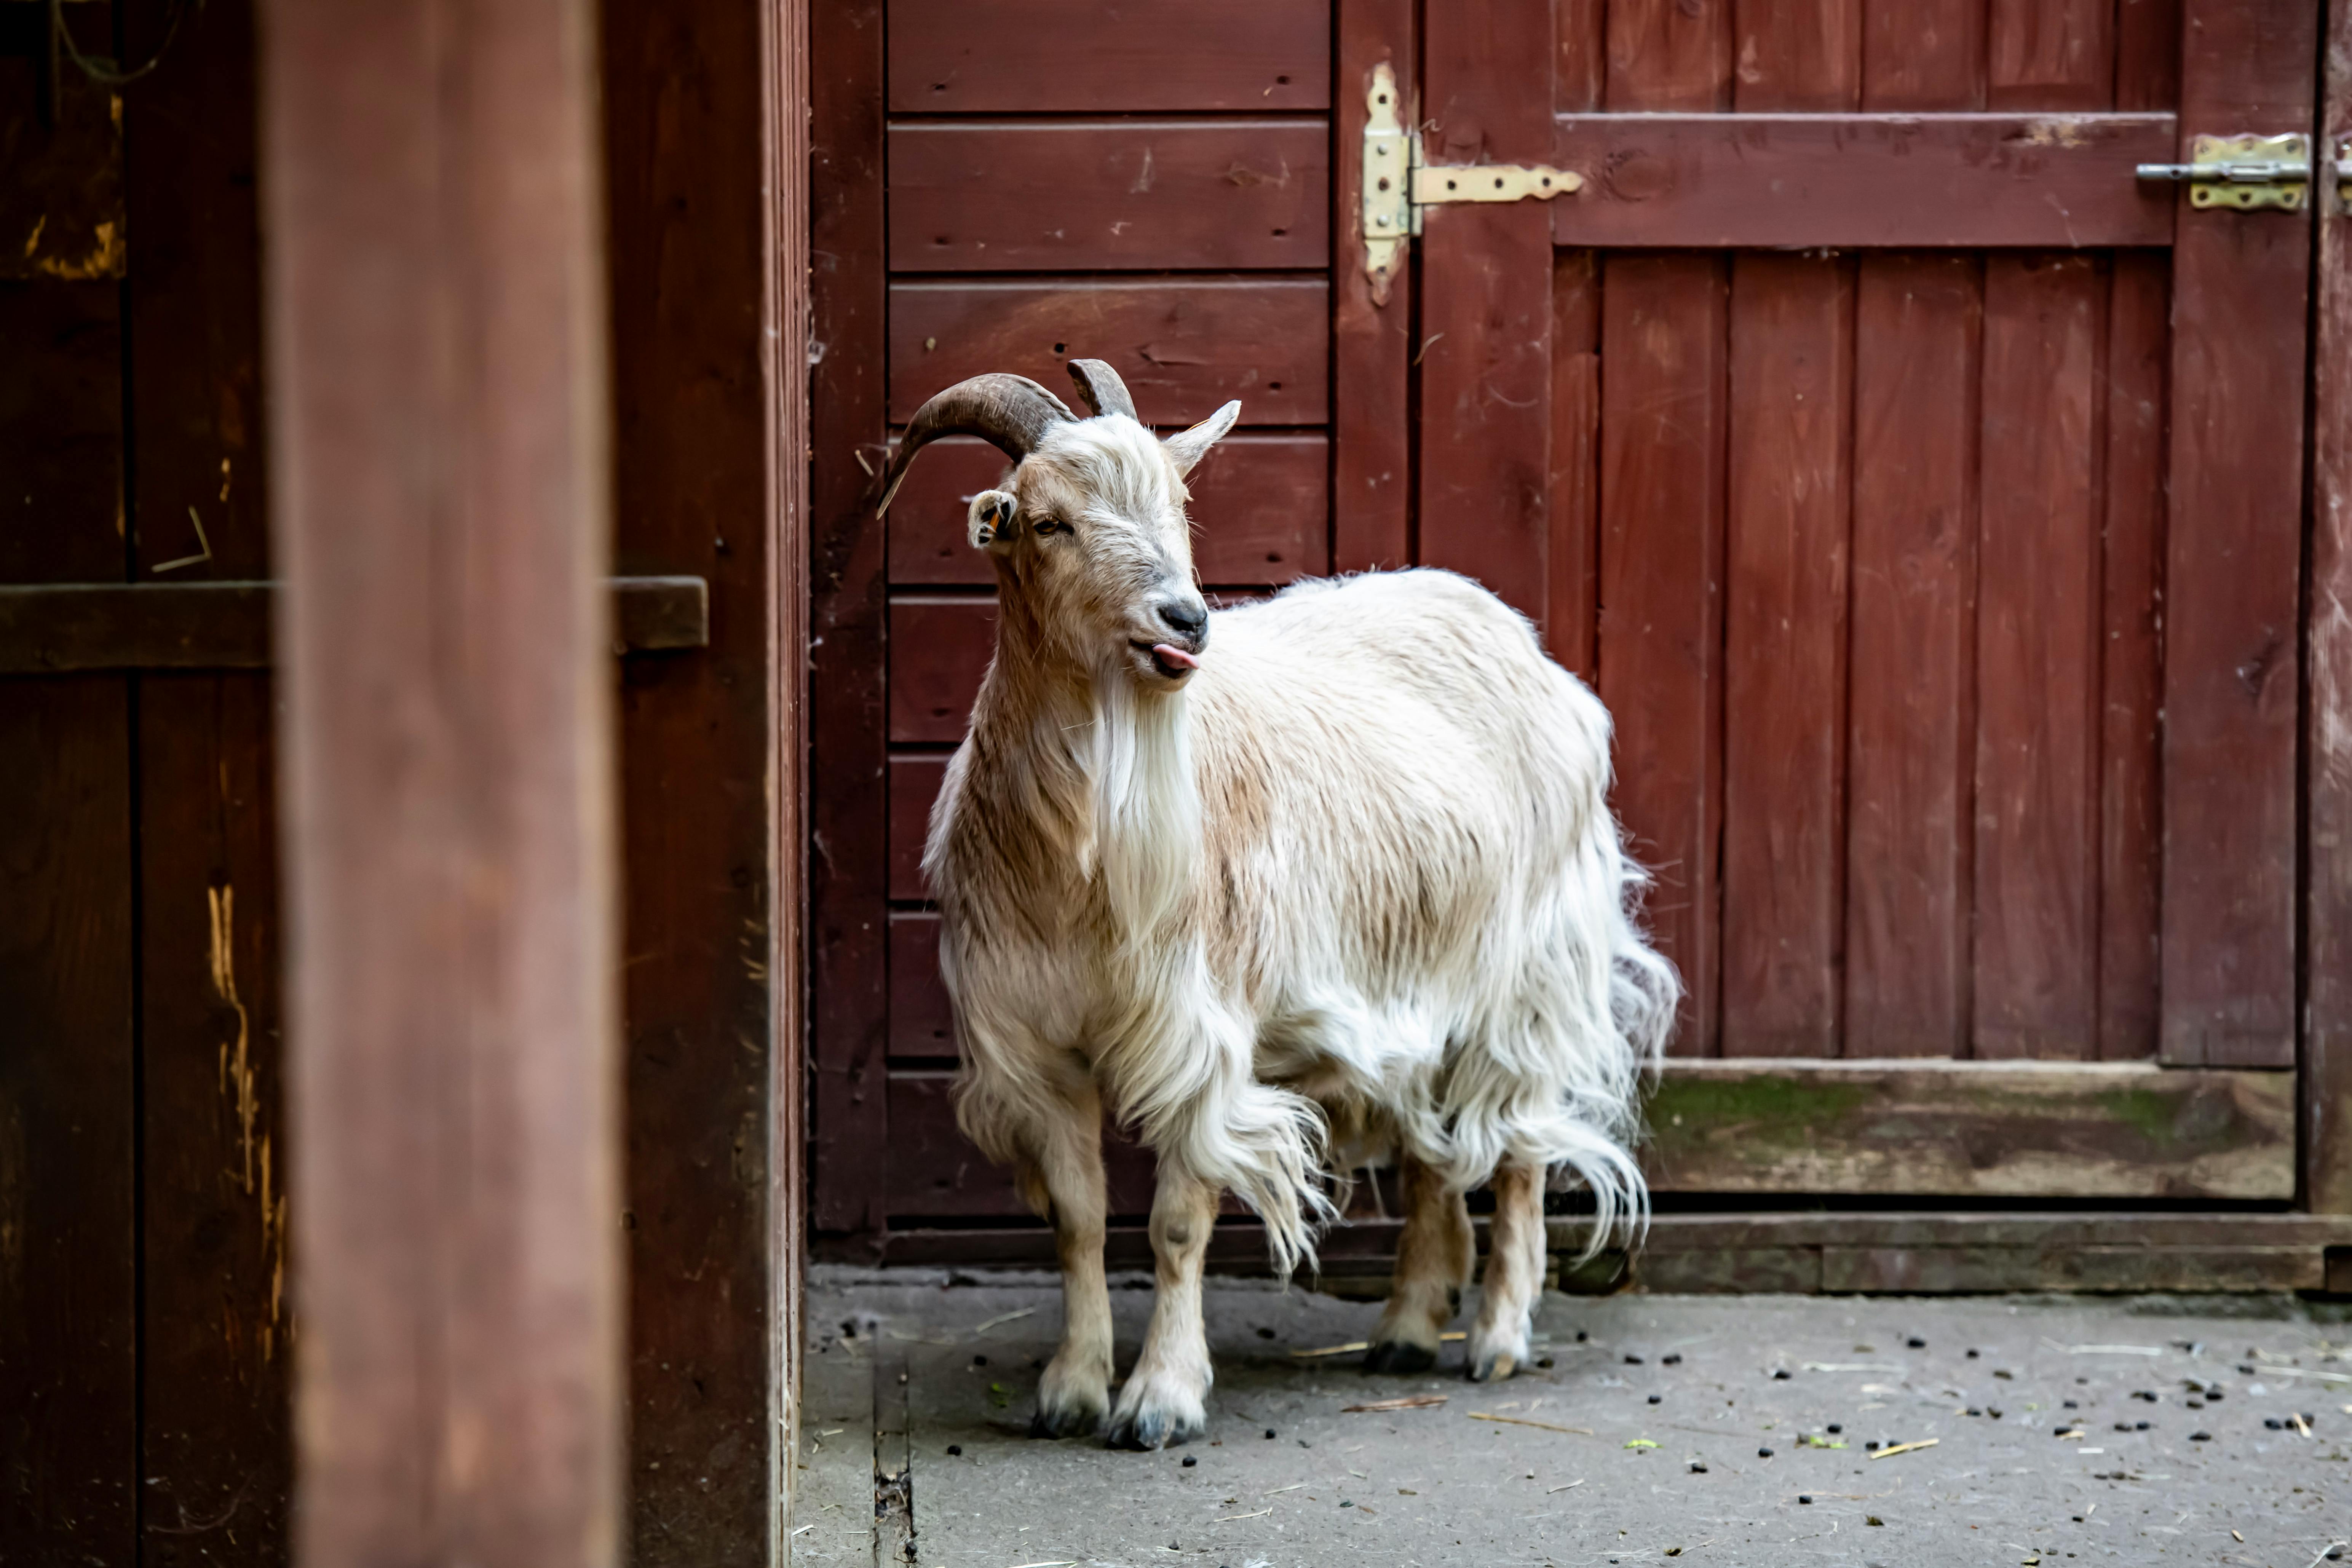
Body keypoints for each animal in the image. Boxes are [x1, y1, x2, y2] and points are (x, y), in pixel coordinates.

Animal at [874, 359, 1678, 1450]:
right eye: (1048, 522)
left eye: (1177, 507)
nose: (1186, 619)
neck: (1078, 869)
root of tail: (1519, 641)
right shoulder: (1037, 1049)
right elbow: (1077, 1219)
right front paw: (1071, 1388)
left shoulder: (1200, 1036)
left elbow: (1176, 1223)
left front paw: (1160, 1401)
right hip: (1410, 981)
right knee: (1432, 1156)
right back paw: (1406, 1330)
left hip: (1527, 972)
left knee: (1515, 1144)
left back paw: (1497, 1340)